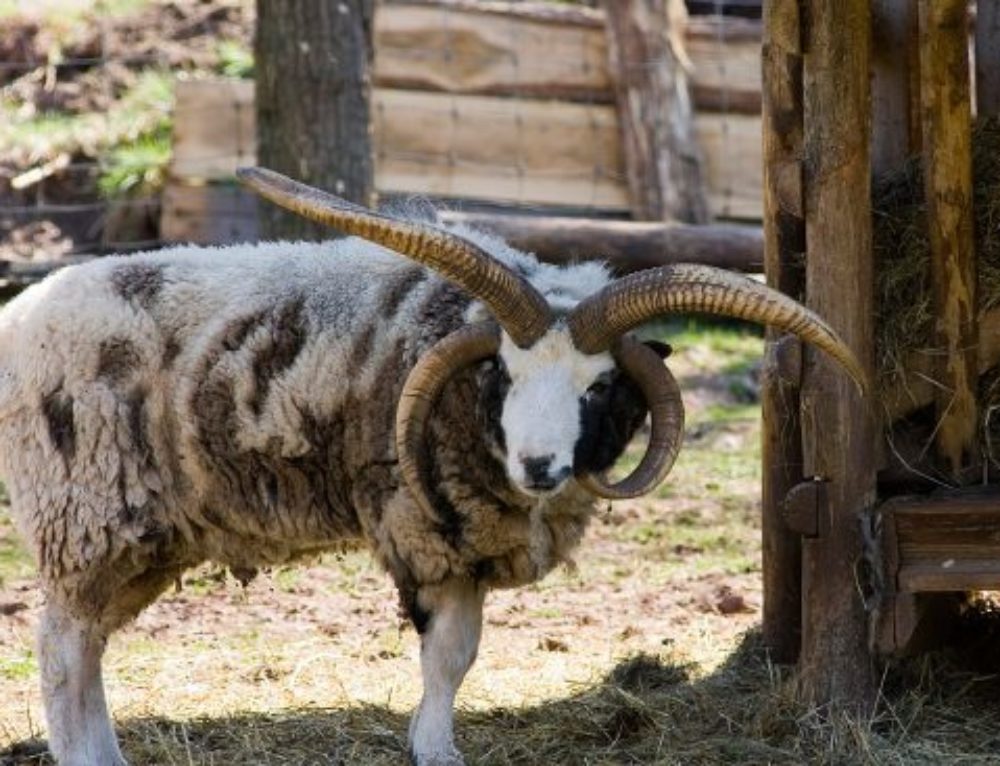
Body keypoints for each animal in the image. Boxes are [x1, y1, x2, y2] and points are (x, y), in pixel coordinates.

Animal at [0, 167, 866, 766]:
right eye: (503, 372)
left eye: (597, 386)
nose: (542, 465)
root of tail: (21, 313)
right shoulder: (428, 530)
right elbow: (446, 657)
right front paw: (435, 748)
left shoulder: (473, 542)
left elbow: (466, 652)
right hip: (84, 515)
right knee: (62, 649)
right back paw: (86, 755)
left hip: (138, 534)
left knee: (87, 646)